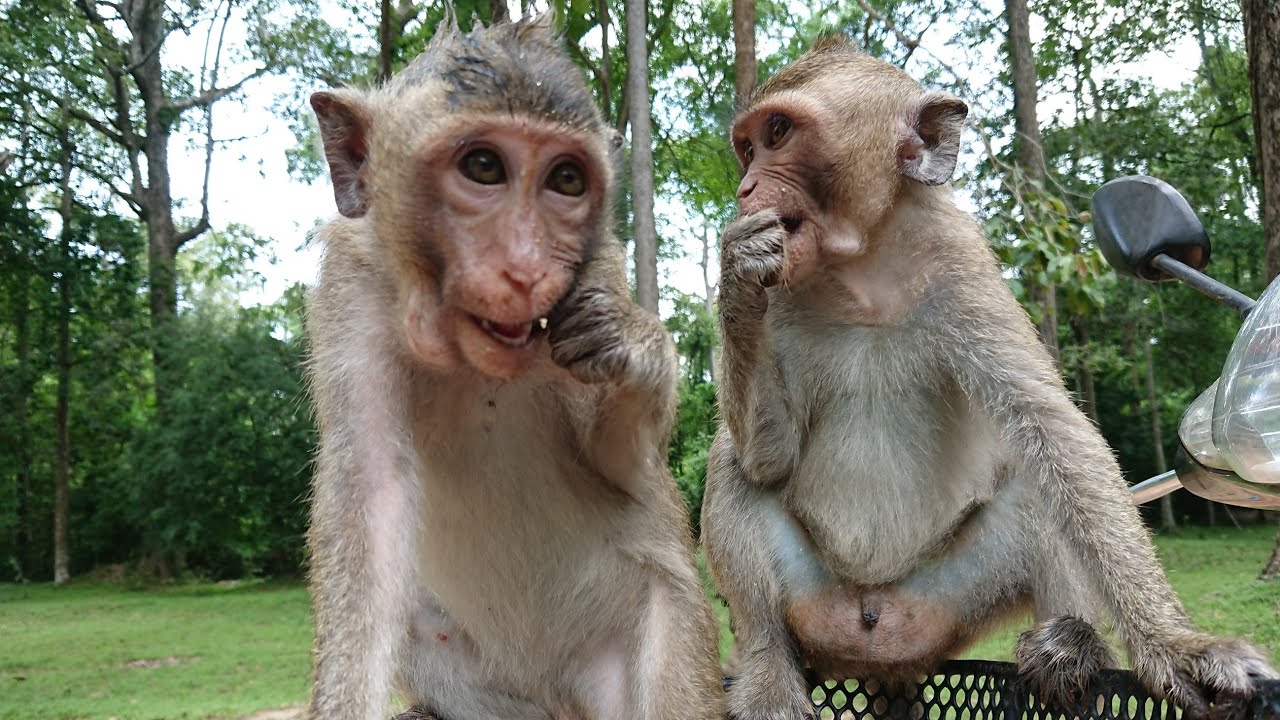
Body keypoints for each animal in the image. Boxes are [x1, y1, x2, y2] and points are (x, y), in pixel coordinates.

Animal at [303, 17, 724, 720]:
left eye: (566, 180)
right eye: (483, 167)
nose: (527, 268)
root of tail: (554, 692)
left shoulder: (597, 270)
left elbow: (624, 468)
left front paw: (636, 346)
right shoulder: (351, 289)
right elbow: (372, 508)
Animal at [701, 35, 1277, 720]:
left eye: (779, 133)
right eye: (746, 148)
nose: (744, 188)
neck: (862, 274)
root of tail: (872, 643)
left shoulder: (963, 271)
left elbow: (1054, 431)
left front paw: (1173, 645)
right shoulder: (786, 292)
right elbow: (768, 459)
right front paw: (737, 267)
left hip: (948, 602)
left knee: (1039, 476)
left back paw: (1072, 642)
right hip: (816, 605)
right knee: (733, 465)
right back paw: (766, 665)